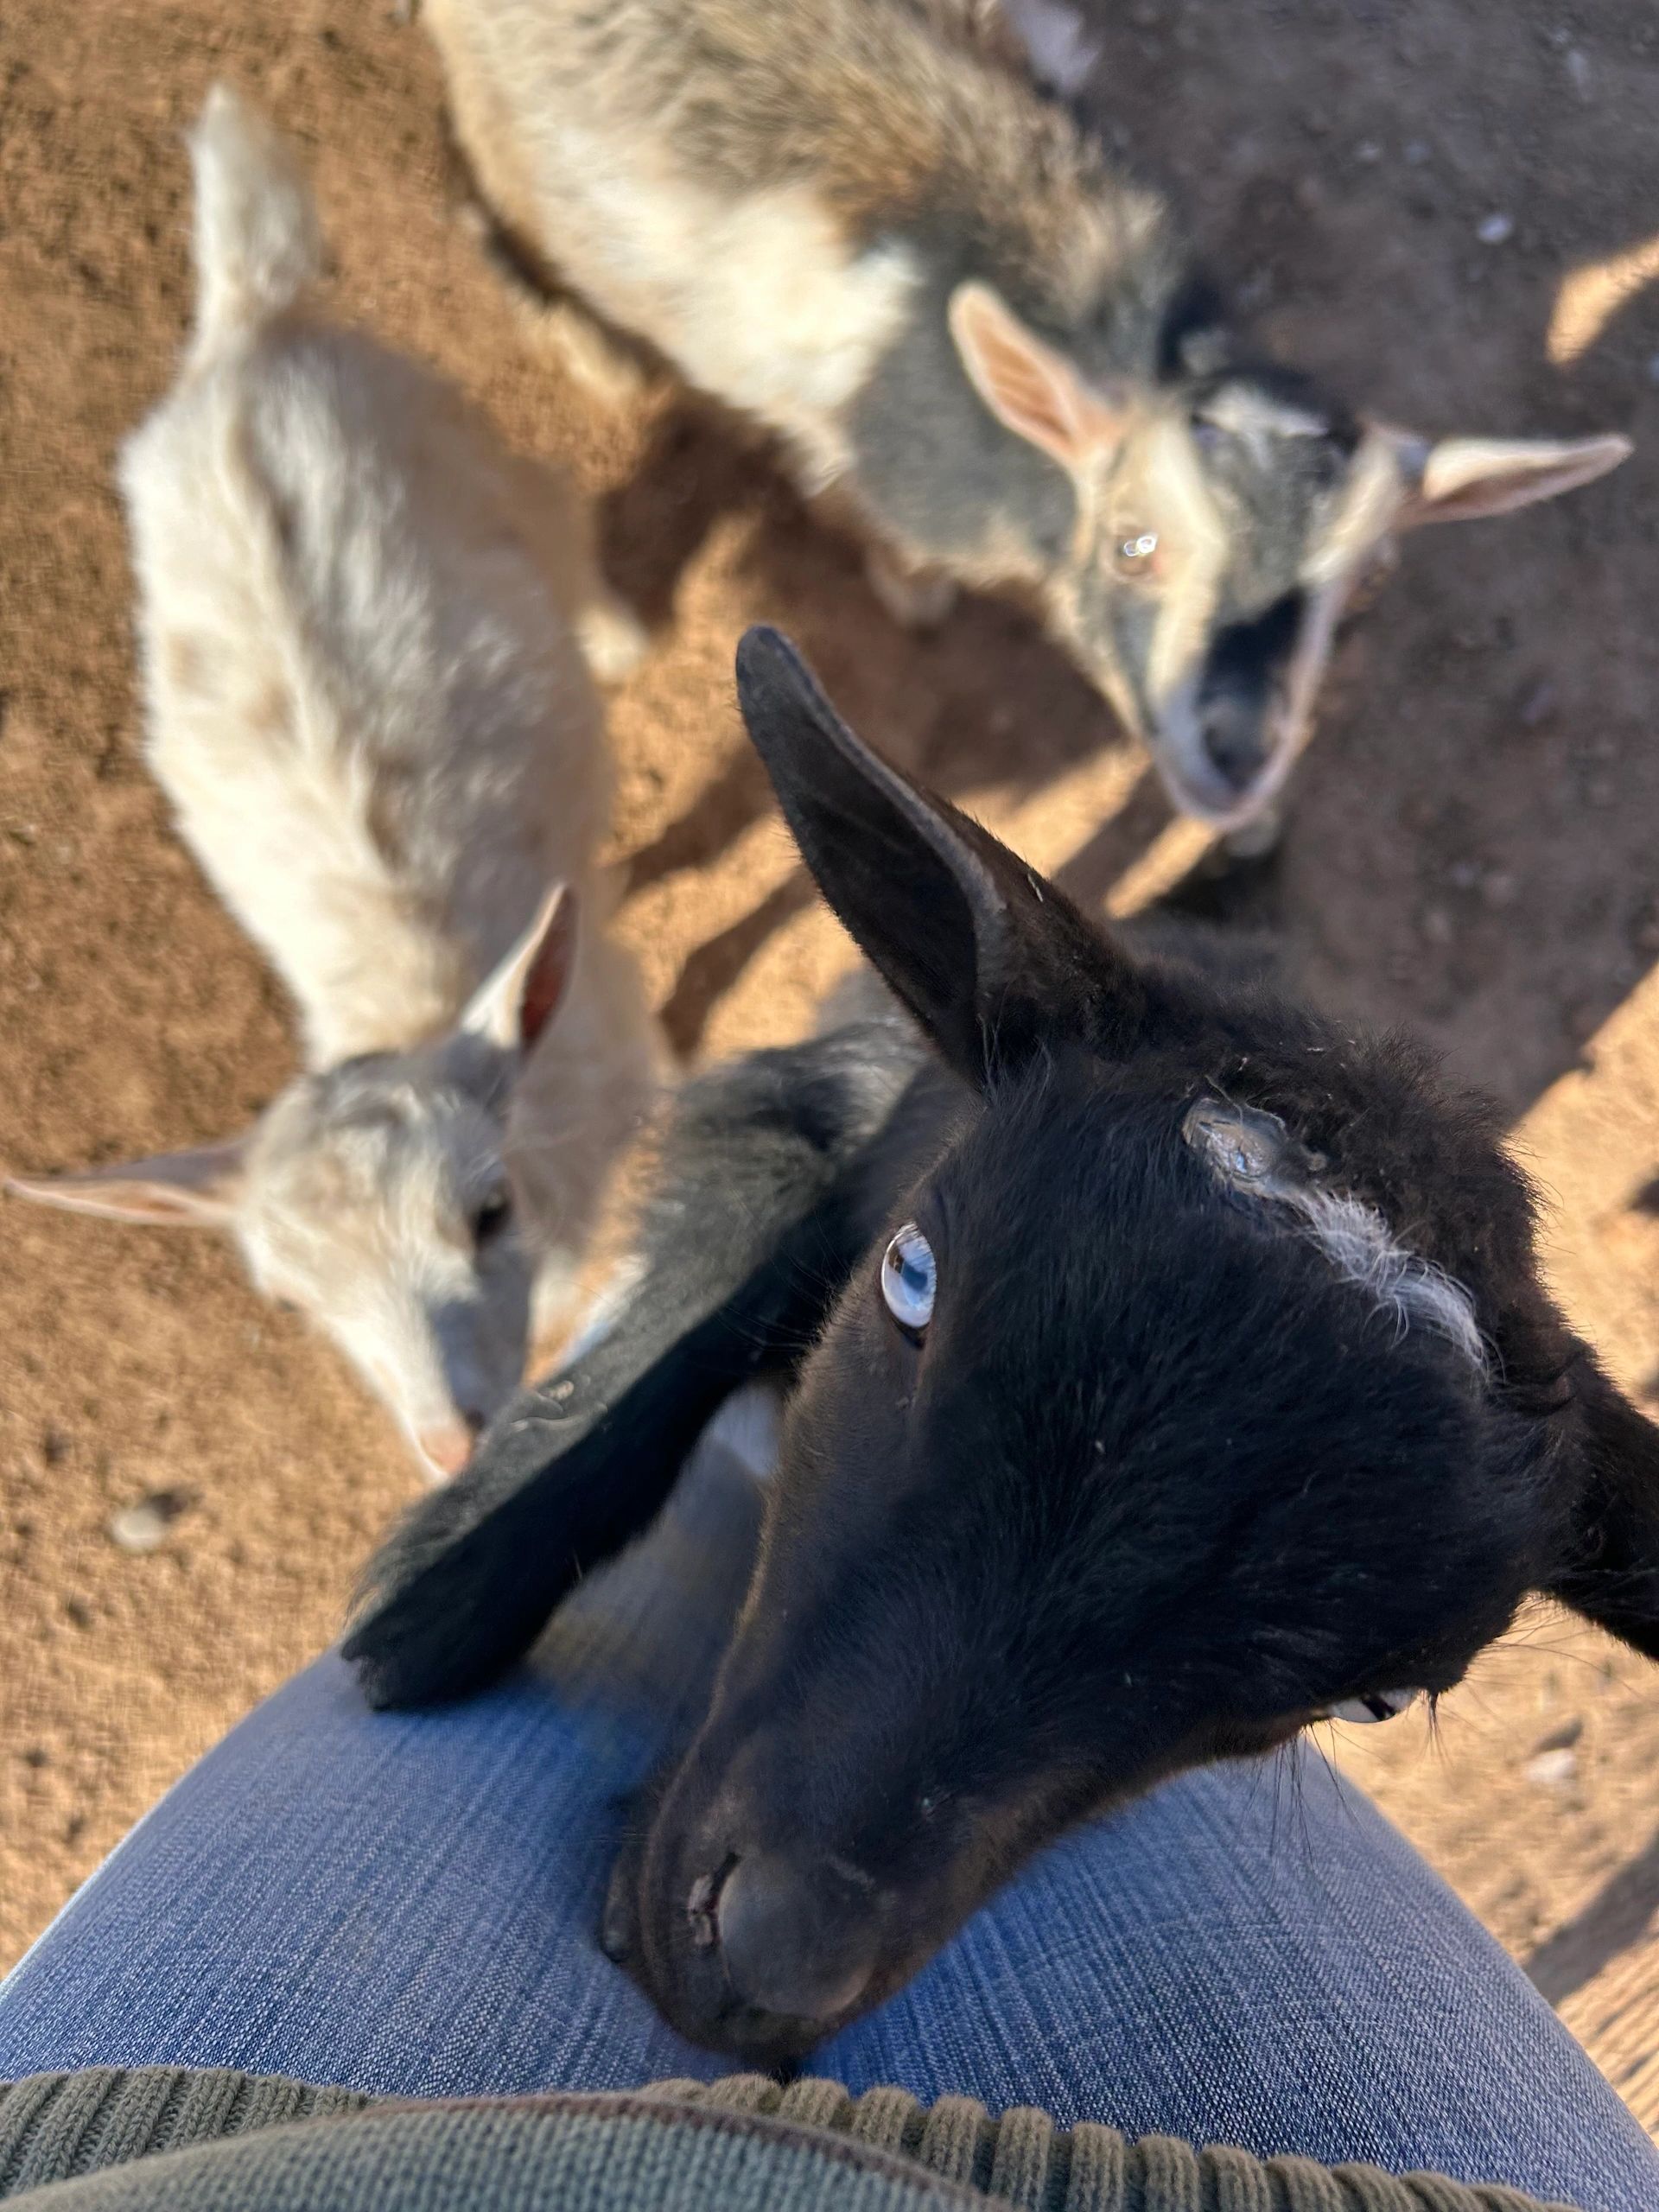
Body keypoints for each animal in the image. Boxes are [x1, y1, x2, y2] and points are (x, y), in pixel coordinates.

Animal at [5, 89, 662, 1482]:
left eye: (487, 1211)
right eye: (299, 1303)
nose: (450, 1448)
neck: (408, 995)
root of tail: (247, 333)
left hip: (452, 431)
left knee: (556, 505)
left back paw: (621, 637)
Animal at [346, 626, 1659, 2060]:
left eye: (1370, 1701)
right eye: (913, 1278)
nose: (772, 1960)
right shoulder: (820, 1108)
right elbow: (687, 1301)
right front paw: (438, 1591)